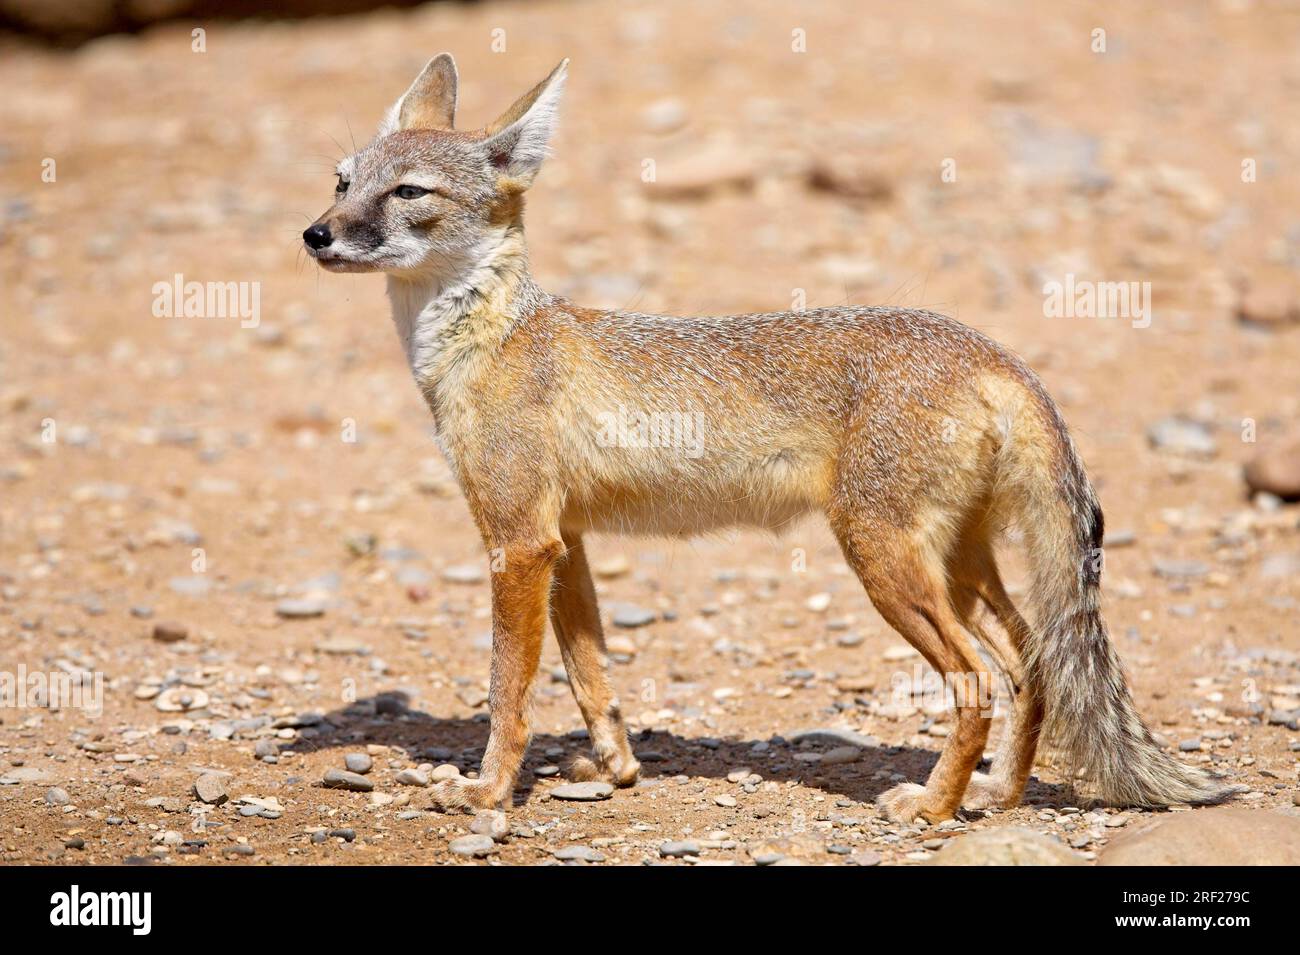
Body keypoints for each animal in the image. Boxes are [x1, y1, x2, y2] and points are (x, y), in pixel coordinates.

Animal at [303, 53, 1235, 822]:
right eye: (343, 181)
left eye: (408, 193)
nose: (316, 233)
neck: (486, 339)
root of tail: (991, 350)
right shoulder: (564, 540)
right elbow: (590, 674)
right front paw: (616, 769)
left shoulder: (518, 543)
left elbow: (509, 690)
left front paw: (490, 791)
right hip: (961, 566)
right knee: (1033, 666)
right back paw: (998, 795)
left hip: (886, 561)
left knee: (976, 683)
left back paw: (932, 807)